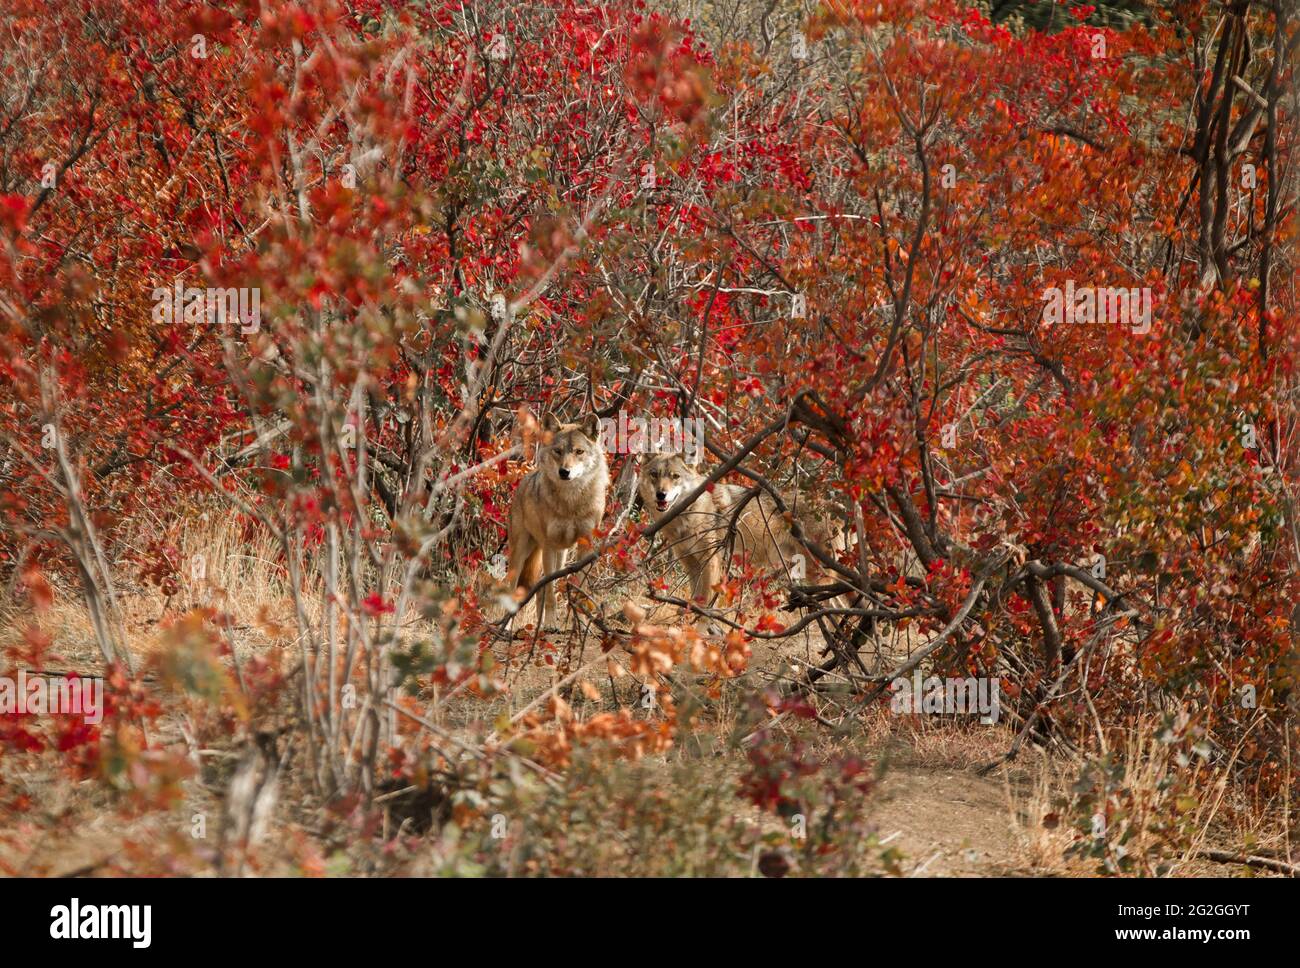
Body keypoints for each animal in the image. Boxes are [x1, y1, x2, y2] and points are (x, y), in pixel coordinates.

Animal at [504, 413, 609, 630]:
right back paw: (507, 627)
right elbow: (551, 593)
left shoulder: (586, 545)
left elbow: (579, 589)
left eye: (579, 452)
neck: (571, 503)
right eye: (558, 451)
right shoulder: (549, 546)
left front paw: (582, 623)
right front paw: (551, 623)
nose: (564, 472)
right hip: (521, 554)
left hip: (560, 554)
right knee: (515, 589)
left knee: (540, 590)